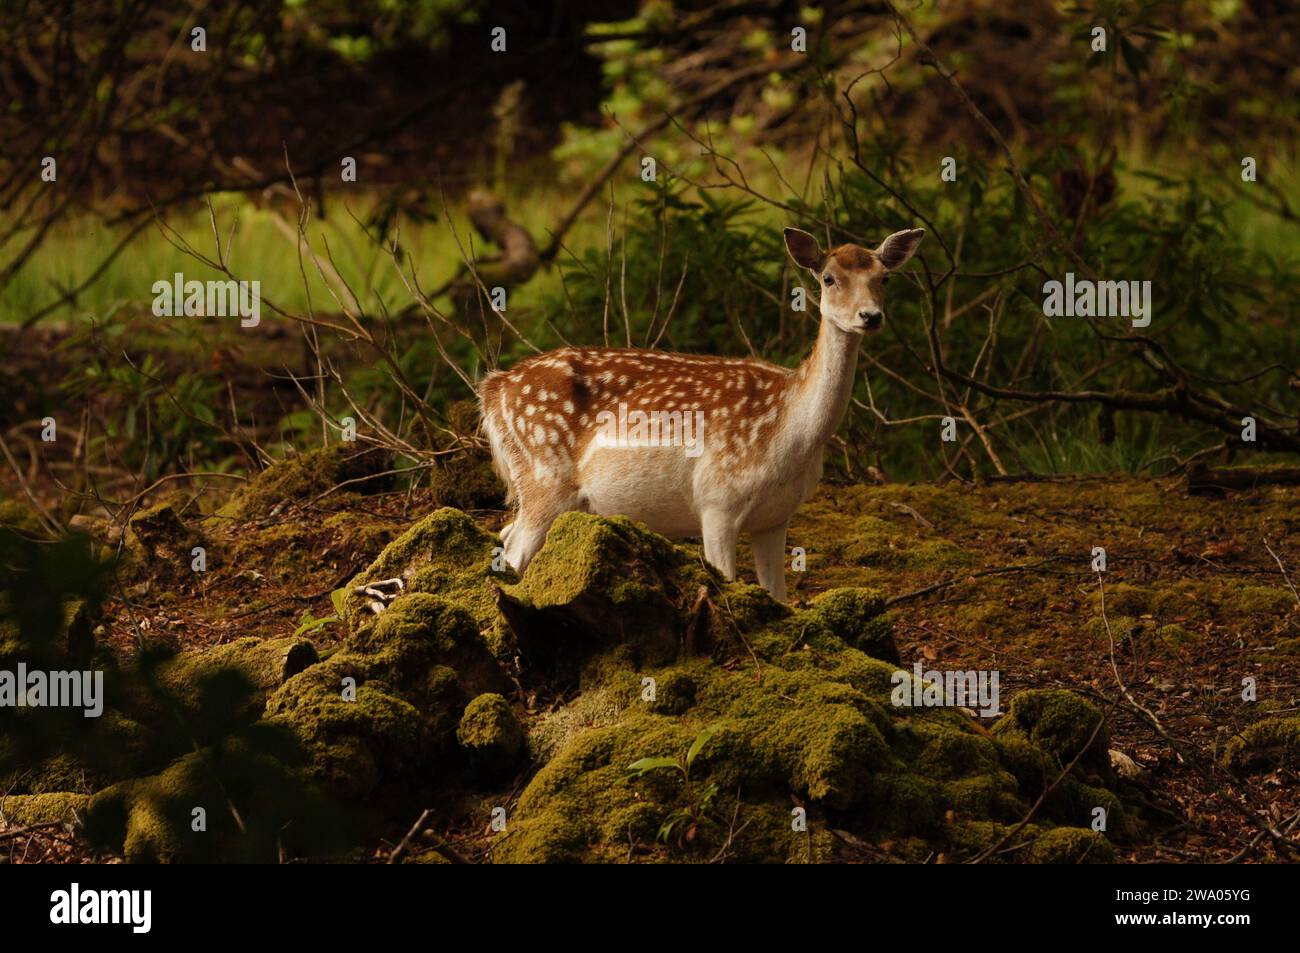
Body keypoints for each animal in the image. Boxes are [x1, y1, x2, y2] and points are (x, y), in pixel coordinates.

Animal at [478, 225, 925, 602]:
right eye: (829, 278)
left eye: (884, 278)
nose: (870, 316)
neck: (789, 435)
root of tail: (493, 390)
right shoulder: (717, 501)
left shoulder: (776, 518)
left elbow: (778, 597)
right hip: (543, 473)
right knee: (514, 549)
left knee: (507, 533)